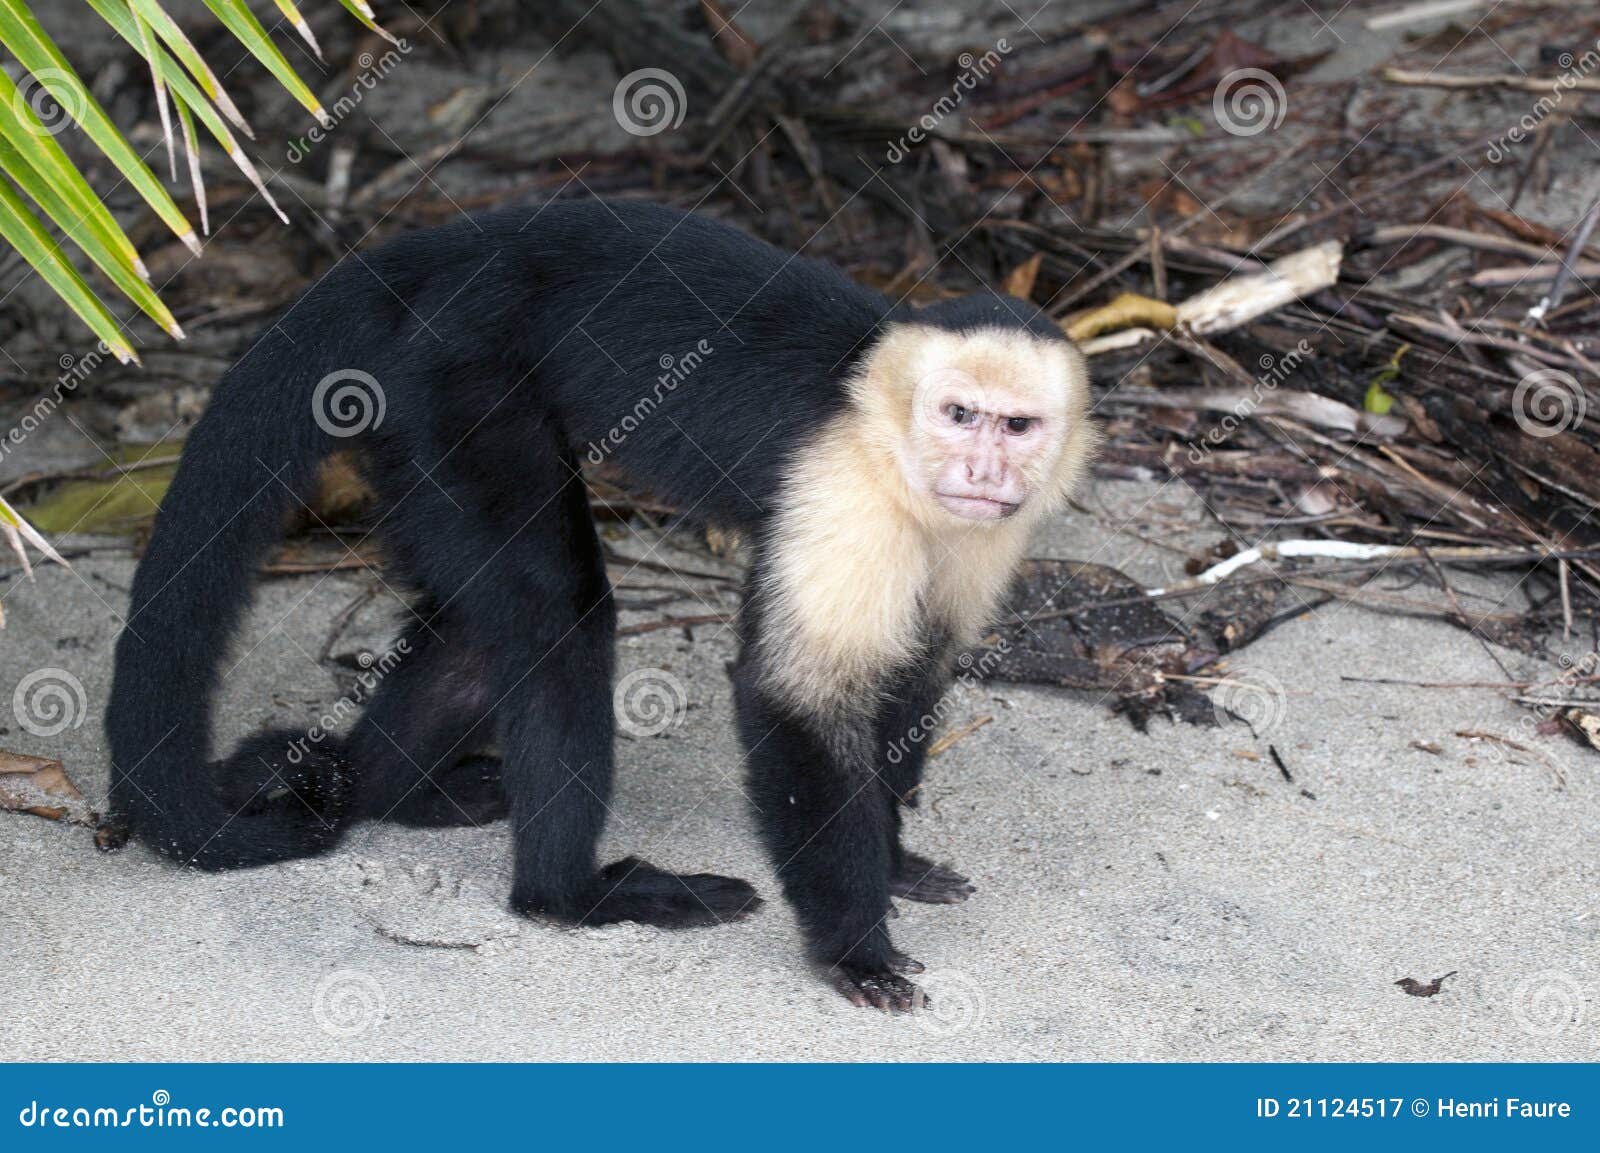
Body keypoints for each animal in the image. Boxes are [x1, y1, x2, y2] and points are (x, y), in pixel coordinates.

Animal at [104, 199, 1096, 1011]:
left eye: (1016, 427)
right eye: (958, 414)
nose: (982, 470)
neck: (893, 442)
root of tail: (437, 249)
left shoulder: (985, 534)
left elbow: (916, 674)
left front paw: (892, 862)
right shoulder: (845, 489)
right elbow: (793, 700)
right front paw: (856, 949)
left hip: (406, 425)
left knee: (479, 629)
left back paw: (388, 789)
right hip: (452, 383)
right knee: (558, 608)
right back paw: (569, 896)